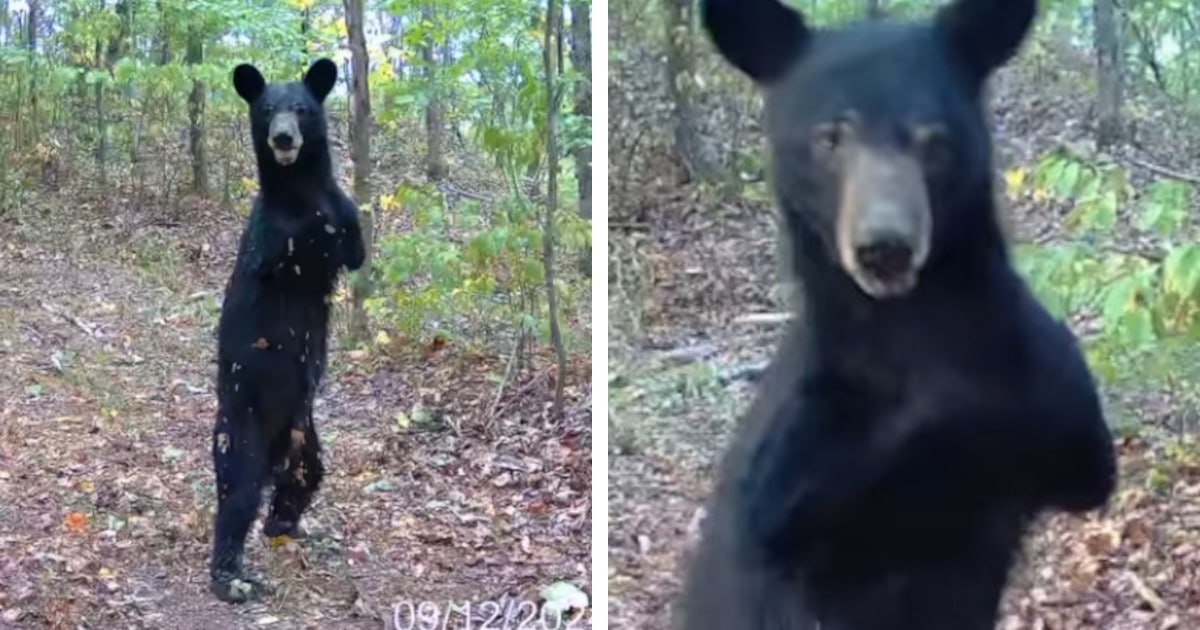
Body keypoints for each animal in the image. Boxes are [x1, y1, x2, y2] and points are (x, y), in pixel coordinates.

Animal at [208, 58, 365, 603]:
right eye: (265, 109)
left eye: (300, 108)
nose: (282, 138)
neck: (301, 187)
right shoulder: (269, 238)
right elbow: (287, 248)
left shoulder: (345, 216)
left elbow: (354, 247)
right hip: (241, 427)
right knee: (237, 494)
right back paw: (229, 577)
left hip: (308, 438)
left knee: (304, 478)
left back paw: (285, 522)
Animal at [677, 1, 1118, 629]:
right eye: (829, 137)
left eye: (934, 139)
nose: (884, 246)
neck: (912, 331)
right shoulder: (788, 482)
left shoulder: (1050, 394)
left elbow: (1075, 454)